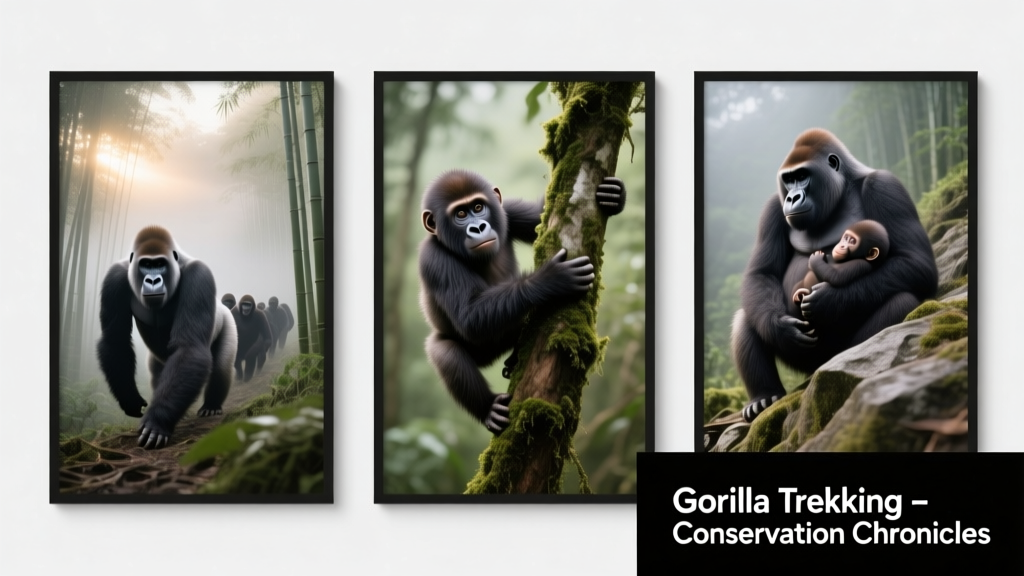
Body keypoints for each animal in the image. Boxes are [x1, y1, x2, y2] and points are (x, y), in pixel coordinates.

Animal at [97, 226, 238, 449]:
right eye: (146, 264)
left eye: (160, 264)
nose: (153, 280)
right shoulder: (115, 276)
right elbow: (115, 340)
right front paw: (130, 399)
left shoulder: (200, 275)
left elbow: (190, 348)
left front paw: (158, 421)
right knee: (158, 372)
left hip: (227, 320)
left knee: (222, 365)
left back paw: (211, 405)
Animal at [418, 169, 626, 434]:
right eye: (460, 214)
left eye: (478, 207)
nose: (478, 227)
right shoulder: (433, 259)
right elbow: (469, 316)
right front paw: (549, 279)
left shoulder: (507, 211)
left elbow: (544, 212)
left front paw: (615, 195)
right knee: (446, 351)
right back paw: (488, 408)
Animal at [731, 129, 937, 423]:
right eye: (789, 179)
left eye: (803, 175)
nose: (791, 198)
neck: (844, 185)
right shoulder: (772, 207)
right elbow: (762, 273)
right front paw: (780, 326)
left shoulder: (885, 185)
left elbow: (916, 262)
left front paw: (829, 301)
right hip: (802, 360)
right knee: (748, 315)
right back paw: (764, 397)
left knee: (903, 300)